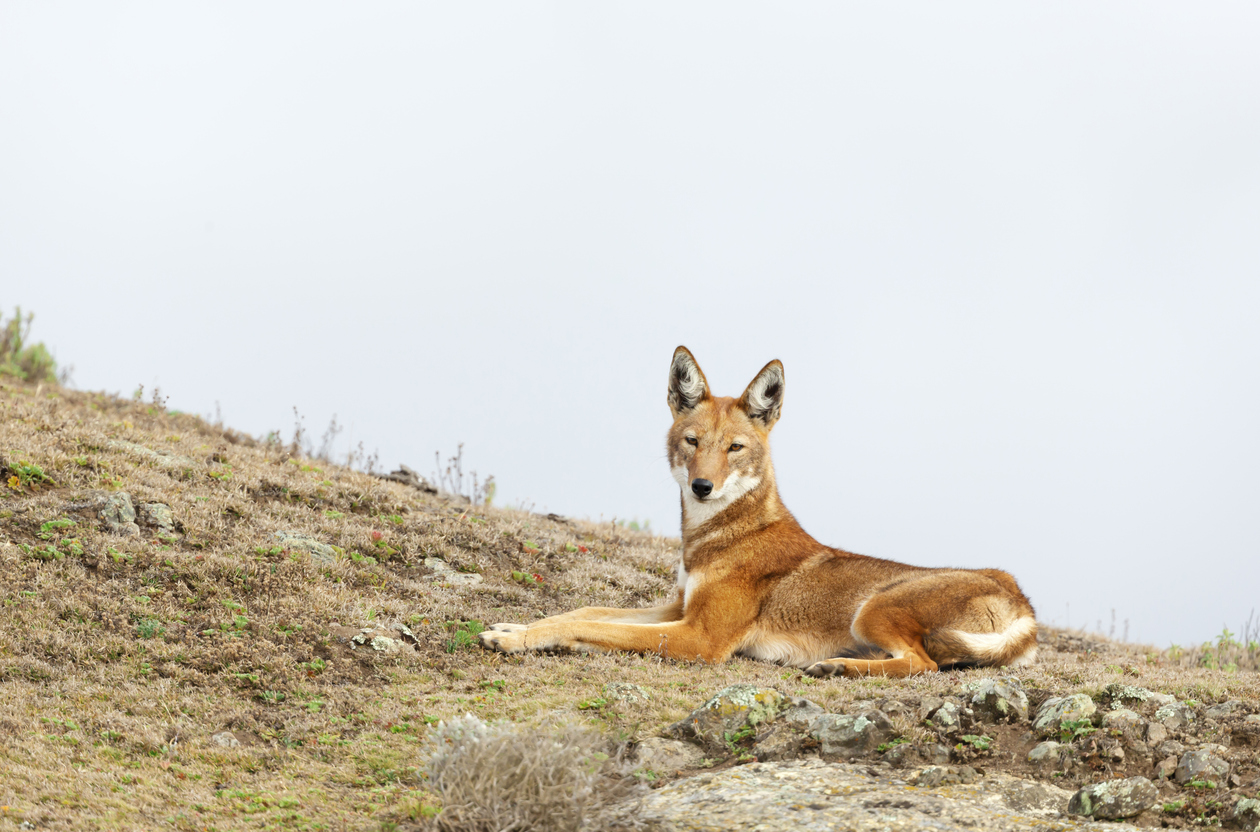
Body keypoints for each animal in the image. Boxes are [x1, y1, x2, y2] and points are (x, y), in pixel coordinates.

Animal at [479, 346, 1037, 677]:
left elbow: (595, 627)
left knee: (922, 664)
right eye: (693, 441)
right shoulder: (677, 608)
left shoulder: (700, 637)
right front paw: (513, 628)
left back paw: (838, 668)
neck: (713, 540)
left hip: (872, 610)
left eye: (735, 448)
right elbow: (584, 613)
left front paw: (519, 639)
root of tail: (1018, 594)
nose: (702, 486)